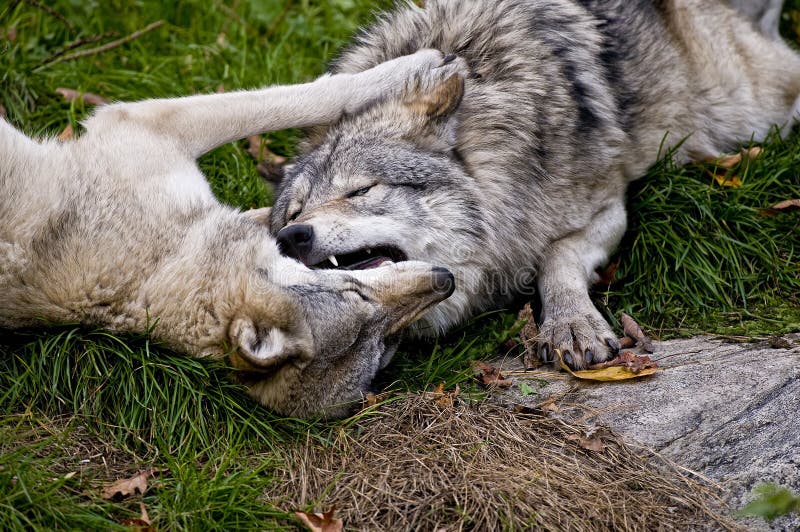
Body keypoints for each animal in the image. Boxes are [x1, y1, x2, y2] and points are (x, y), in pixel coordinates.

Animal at [0, 49, 462, 418]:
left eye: (384, 348)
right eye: (357, 296)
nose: (446, 281)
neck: (164, 258)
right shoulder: (139, 122)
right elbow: (316, 96)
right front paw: (425, 64)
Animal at [270, 0, 800, 369]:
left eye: (361, 191)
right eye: (294, 212)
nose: (292, 237)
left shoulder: (607, 206)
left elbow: (556, 257)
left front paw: (571, 324)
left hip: (745, 112)